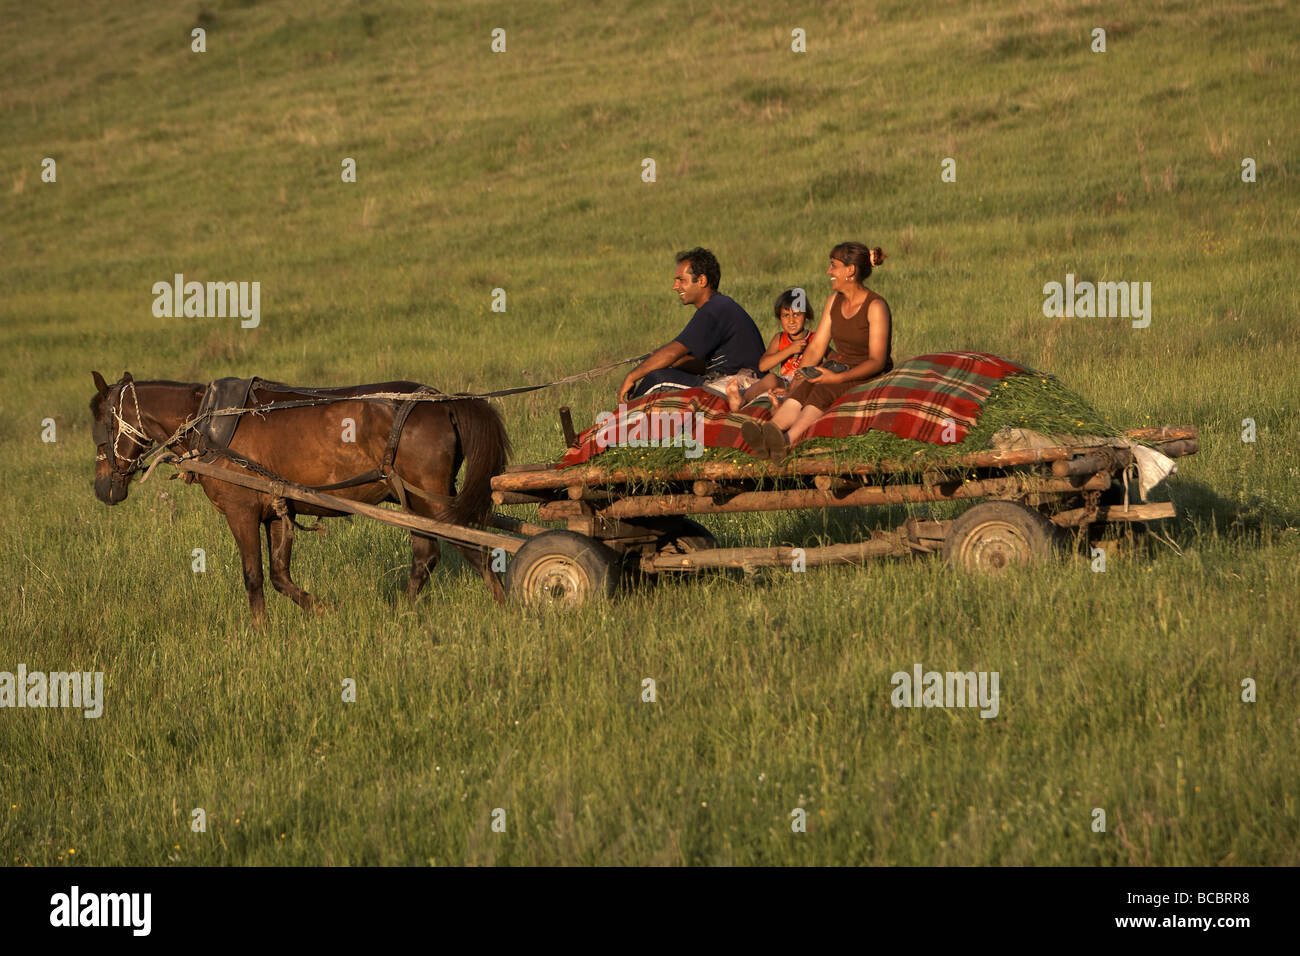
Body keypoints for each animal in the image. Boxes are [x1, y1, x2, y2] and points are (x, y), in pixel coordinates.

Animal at [89, 370, 511, 623]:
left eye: (103, 423)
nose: (102, 488)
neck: (208, 420)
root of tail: (443, 401)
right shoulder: (277, 511)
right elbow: (279, 575)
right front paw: (322, 608)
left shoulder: (242, 511)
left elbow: (254, 576)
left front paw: (258, 634)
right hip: (414, 501)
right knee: (427, 557)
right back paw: (403, 614)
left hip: (431, 501)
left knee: (472, 549)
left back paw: (505, 607)